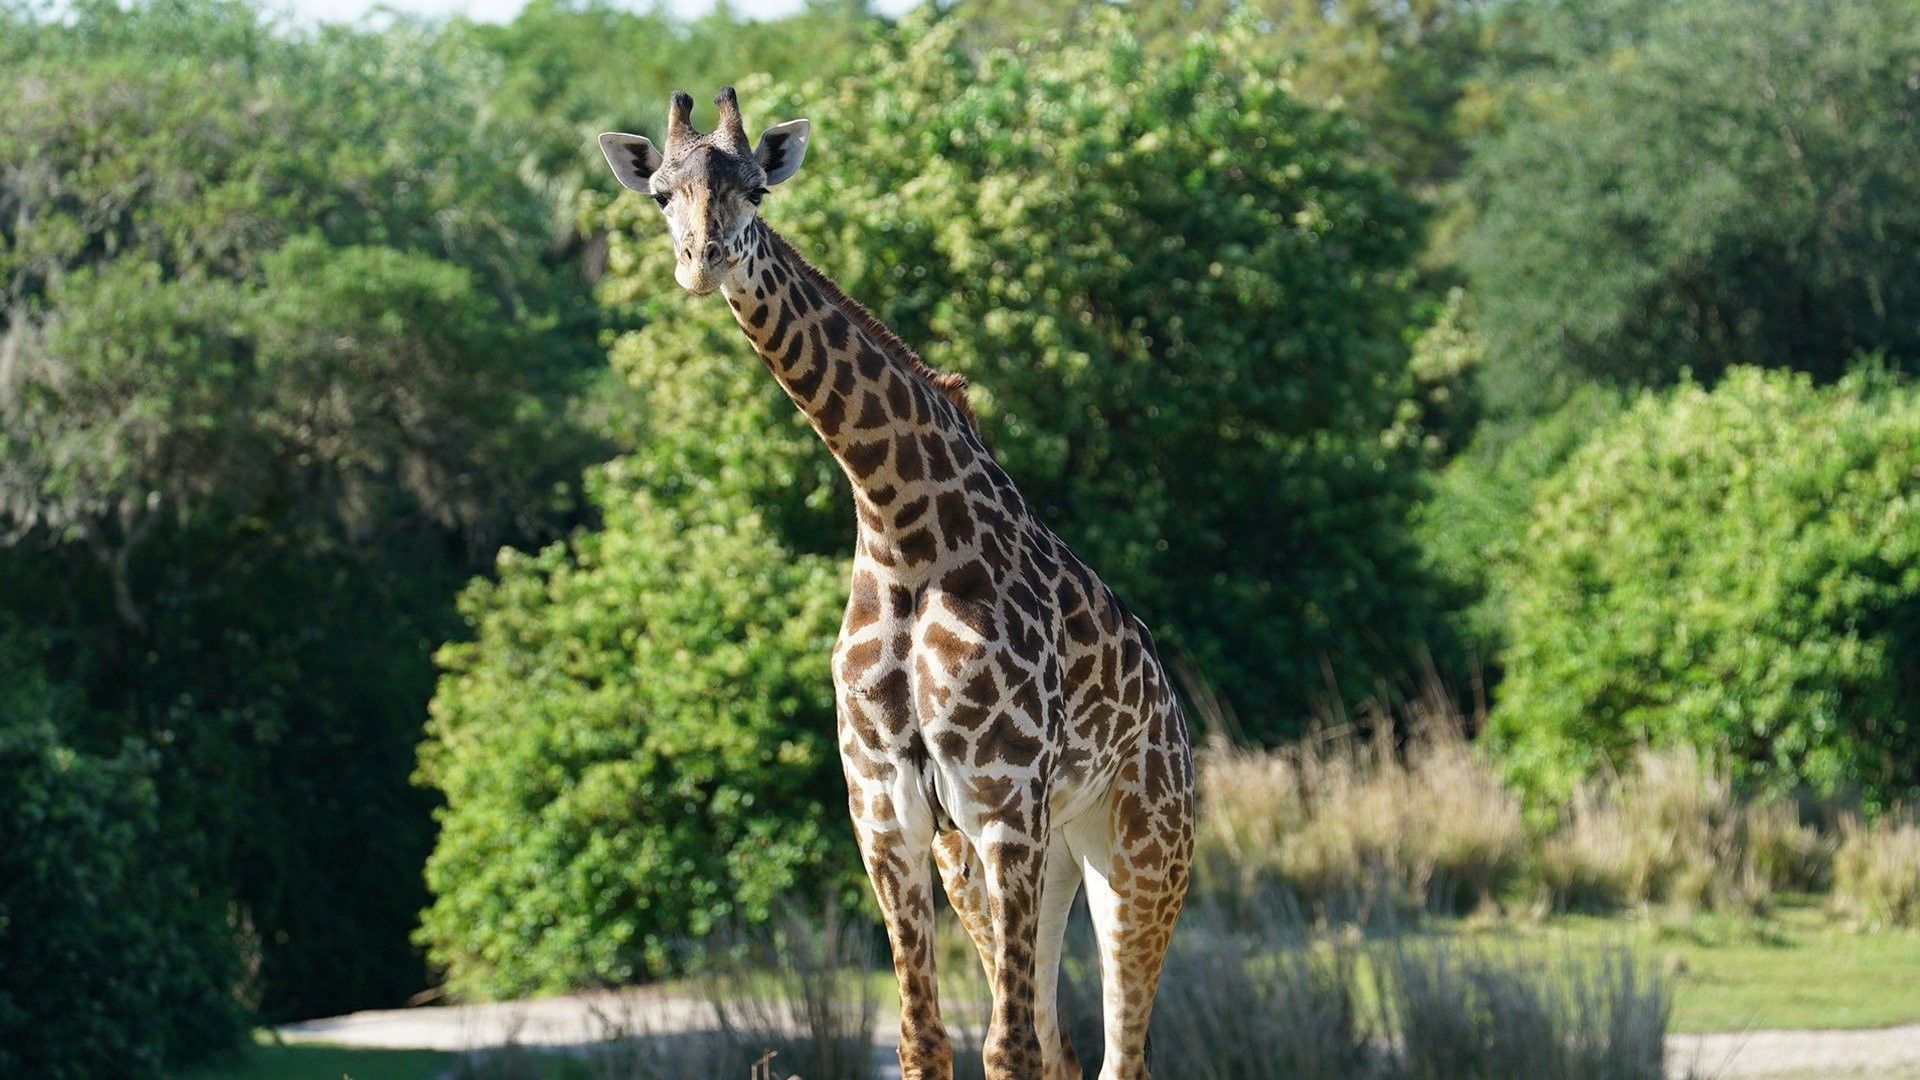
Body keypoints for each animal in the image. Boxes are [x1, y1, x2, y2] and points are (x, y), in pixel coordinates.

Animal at [600, 88, 1193, 1080]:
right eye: (660, 195)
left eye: (756, 188)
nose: (702, 260)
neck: (903, 533)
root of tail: (1176, 718)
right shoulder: (890, 818)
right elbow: (927, 1040)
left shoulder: (1002, 805)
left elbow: (1005, 1046)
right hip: (1036, 859)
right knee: (1067, 1046)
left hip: (1141, 849)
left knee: (1121, 1052)